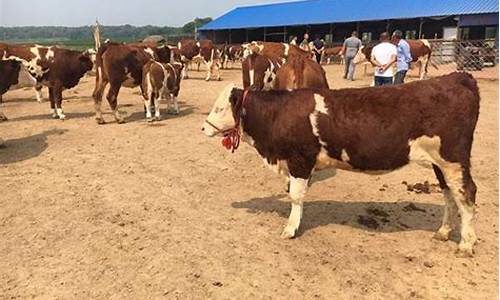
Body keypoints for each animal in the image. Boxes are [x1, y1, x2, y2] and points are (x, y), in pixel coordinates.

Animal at [203, 71, 480, 256]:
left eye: (219, 108)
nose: (203, 128)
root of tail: (456, 77)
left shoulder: (300, 160)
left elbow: (295, 197)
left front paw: (290, 229)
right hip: (440, 163)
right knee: (449, 194)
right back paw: (444, 232)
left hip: (453, 160)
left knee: (466, 194)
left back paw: (466, 243)